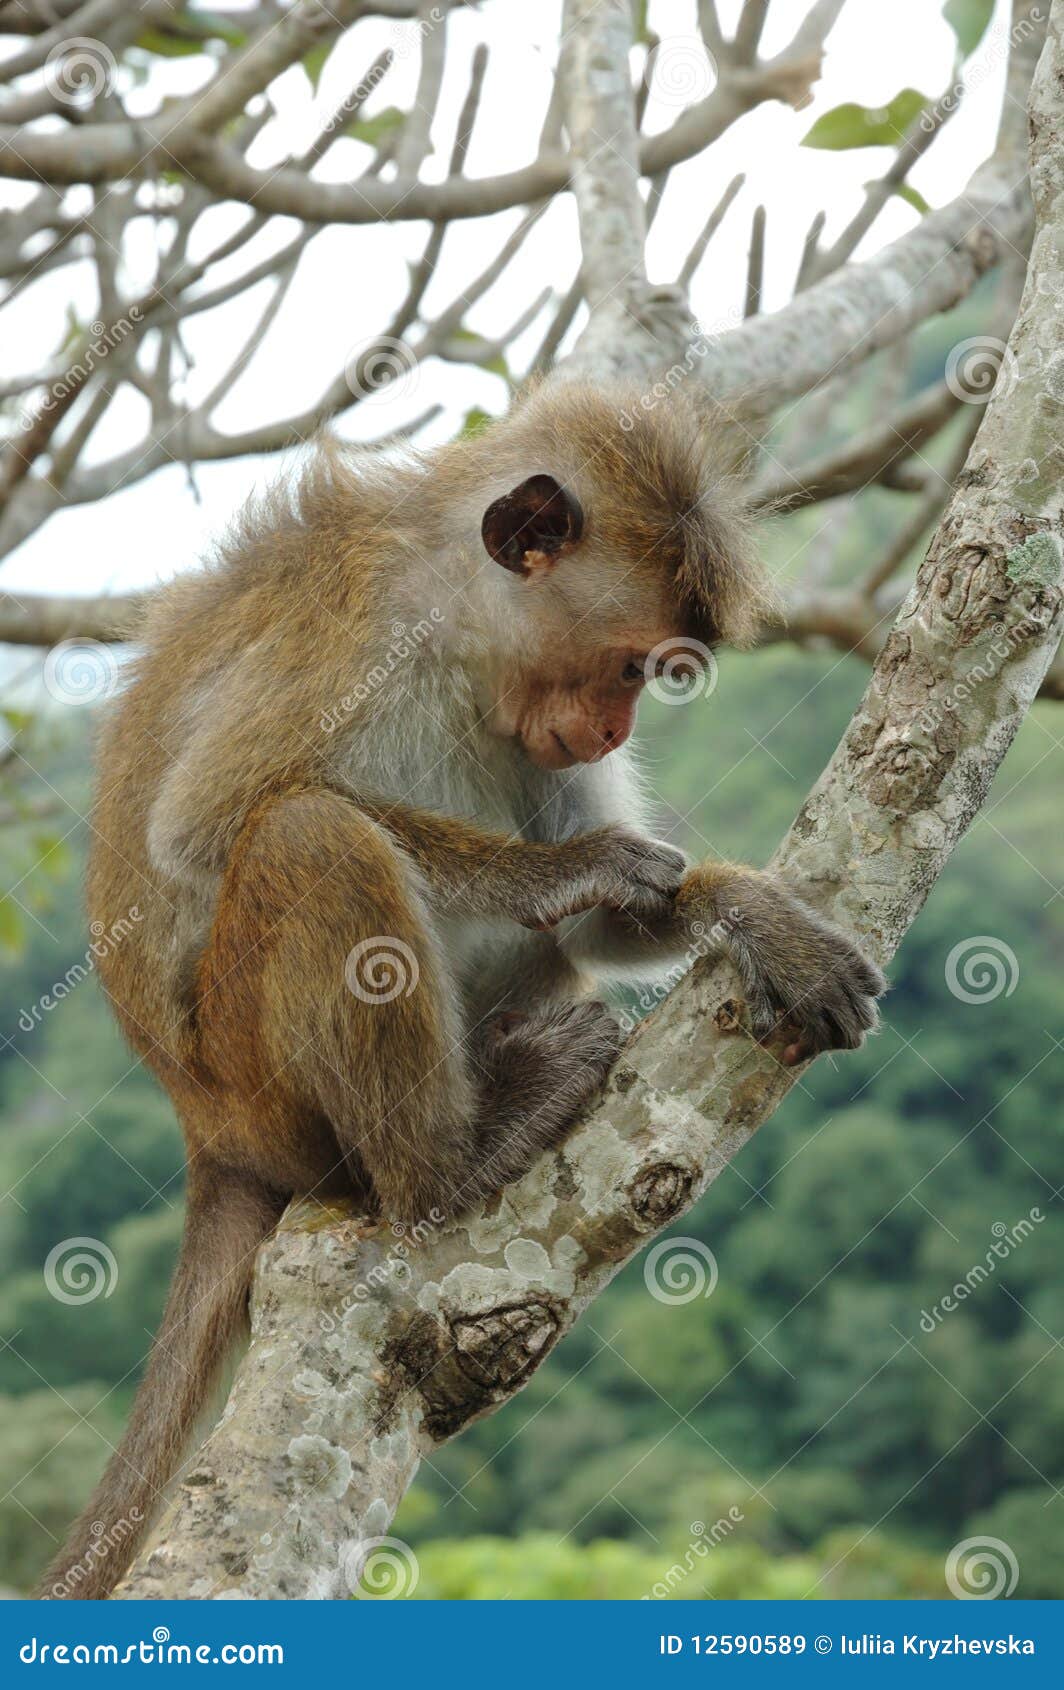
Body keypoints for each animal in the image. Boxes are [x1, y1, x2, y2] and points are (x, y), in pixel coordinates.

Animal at [38, 378, 885, 1599]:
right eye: (629, 664)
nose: (616, 726)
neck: (453, 631)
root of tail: (208, 1131)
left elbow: (611, 921)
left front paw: (746, 909)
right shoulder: (350, 630)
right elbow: (203, 828)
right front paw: (561, 868)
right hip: (261, 1082)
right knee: (307, 835)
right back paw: (449, 1163)